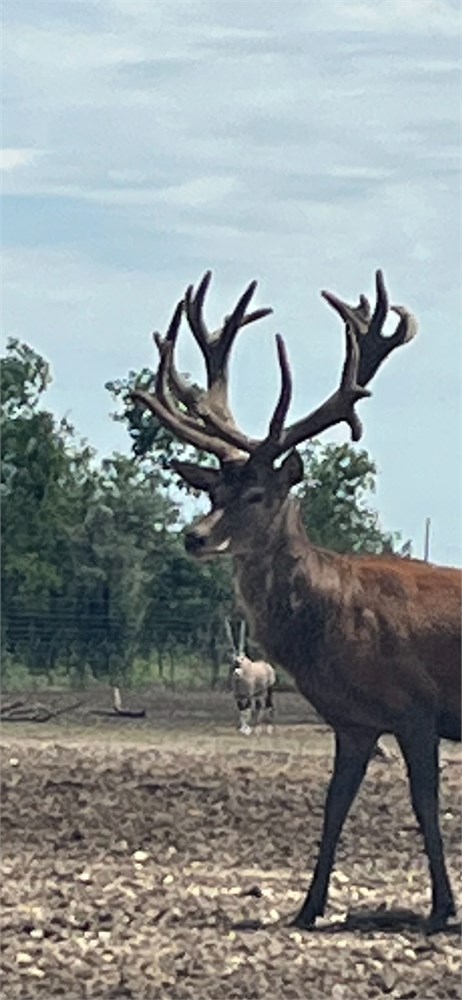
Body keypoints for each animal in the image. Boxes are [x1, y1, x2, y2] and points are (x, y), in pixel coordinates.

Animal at [132, 269, 461, 933]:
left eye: (258, 493)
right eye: (213, 490)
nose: (194, 536)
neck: (336, 618)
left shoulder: (418, 704)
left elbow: (423, 806)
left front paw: (442, 908)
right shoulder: (353, 720)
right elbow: (333, 806)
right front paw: (308, 908)